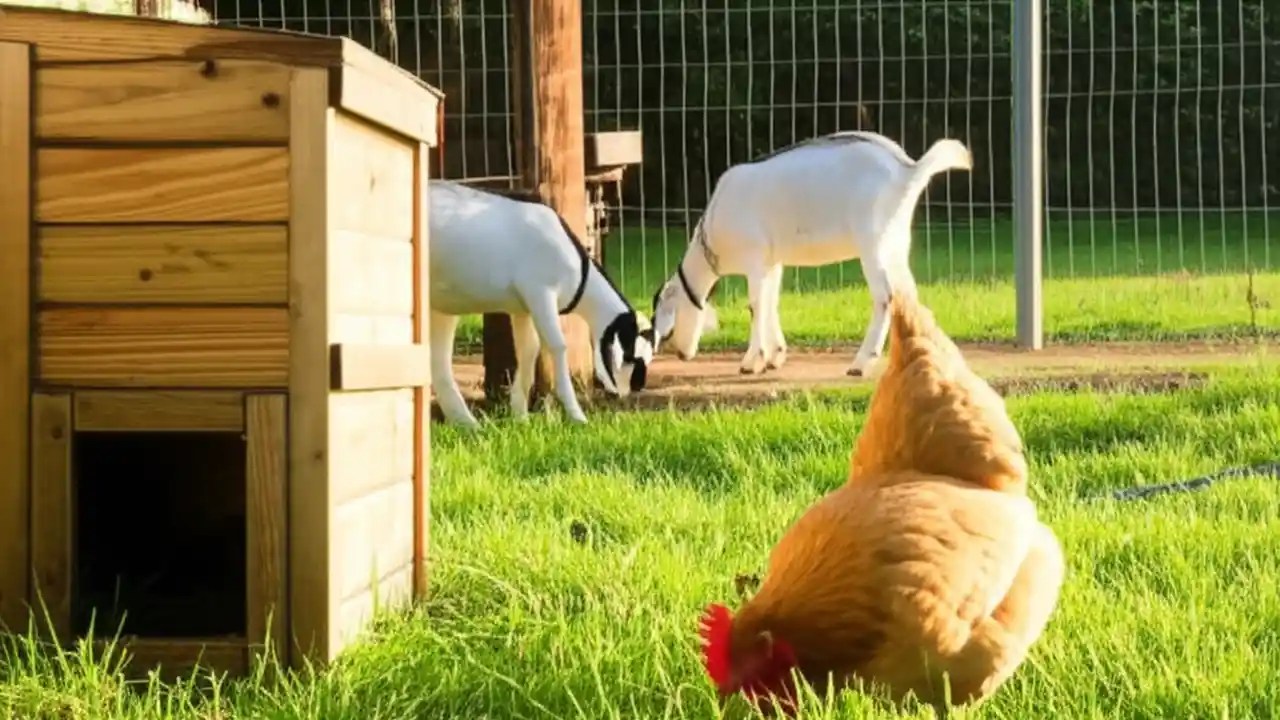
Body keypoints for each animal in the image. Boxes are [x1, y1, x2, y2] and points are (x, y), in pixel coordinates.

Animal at [428, 180, 653, 428]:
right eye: (631, 356)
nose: (628, 392)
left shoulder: (522, 308)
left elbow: (529, 350)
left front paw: (520, 417)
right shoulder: (540, 292)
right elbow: (557, 345)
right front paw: (577, 416)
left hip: (443, 307)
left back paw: (469, 425)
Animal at [650, 130, 973, 377]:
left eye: (667, 330)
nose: (681, 355)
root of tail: (908, 170)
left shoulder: (754, 258)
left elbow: (755, 305)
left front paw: (751, 362)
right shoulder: (771, 262)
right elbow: (770, 302)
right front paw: (775, 356)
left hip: (872, 240)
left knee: (886, 296)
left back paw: (860, 364)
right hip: (896, 240)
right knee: (909, 292)